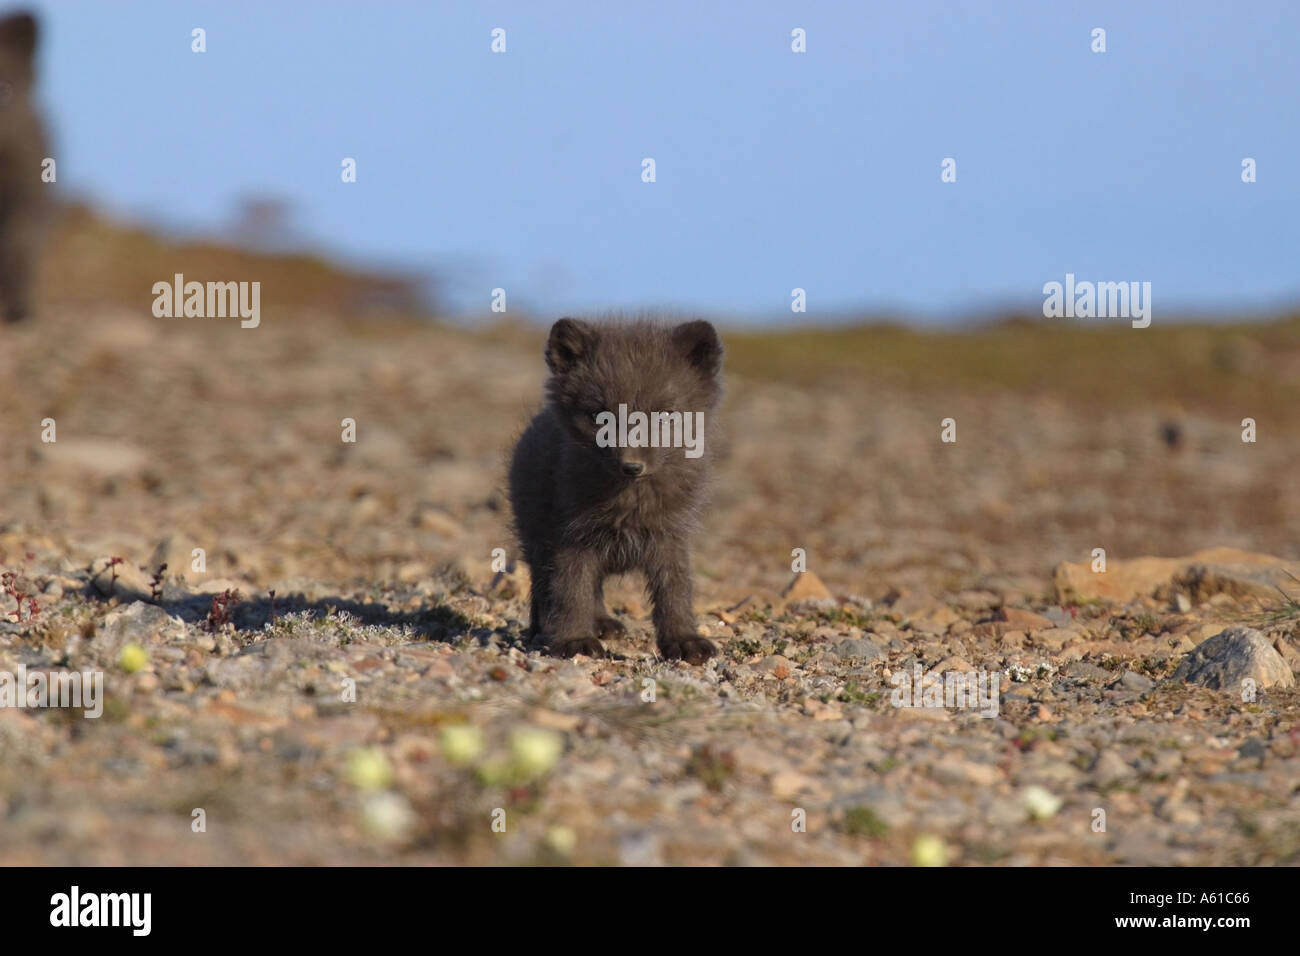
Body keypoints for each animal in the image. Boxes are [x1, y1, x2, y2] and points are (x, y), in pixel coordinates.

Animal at [509, 316, 724, 663]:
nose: (631, 466)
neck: (628, 501)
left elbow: (675, 590)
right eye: (600, 415)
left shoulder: (670, 536)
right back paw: (544, 630)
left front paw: (684, 641)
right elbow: (571, 589)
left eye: (665, 415)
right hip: (535, 535)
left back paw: (603, 623)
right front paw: (574, 640)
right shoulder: (570, 536)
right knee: (545, 586)